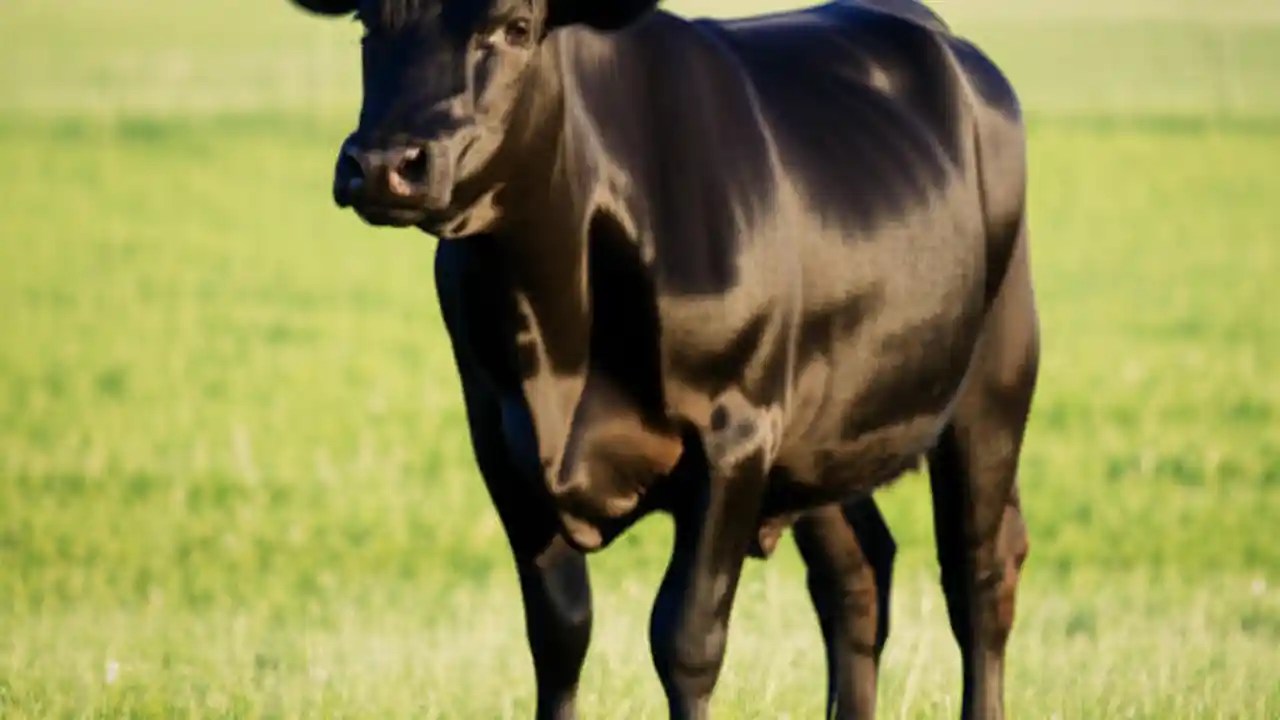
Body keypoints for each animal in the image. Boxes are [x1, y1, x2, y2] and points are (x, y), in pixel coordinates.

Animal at [287, 0, 1039, 717]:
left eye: (517, 25)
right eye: (368, 20)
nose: (384, 165)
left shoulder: (735, 438)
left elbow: (686, 641)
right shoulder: (500, 444)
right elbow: (559, 634)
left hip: (995, 380)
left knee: (978, 576)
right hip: (822, 433)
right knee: (857, 575)